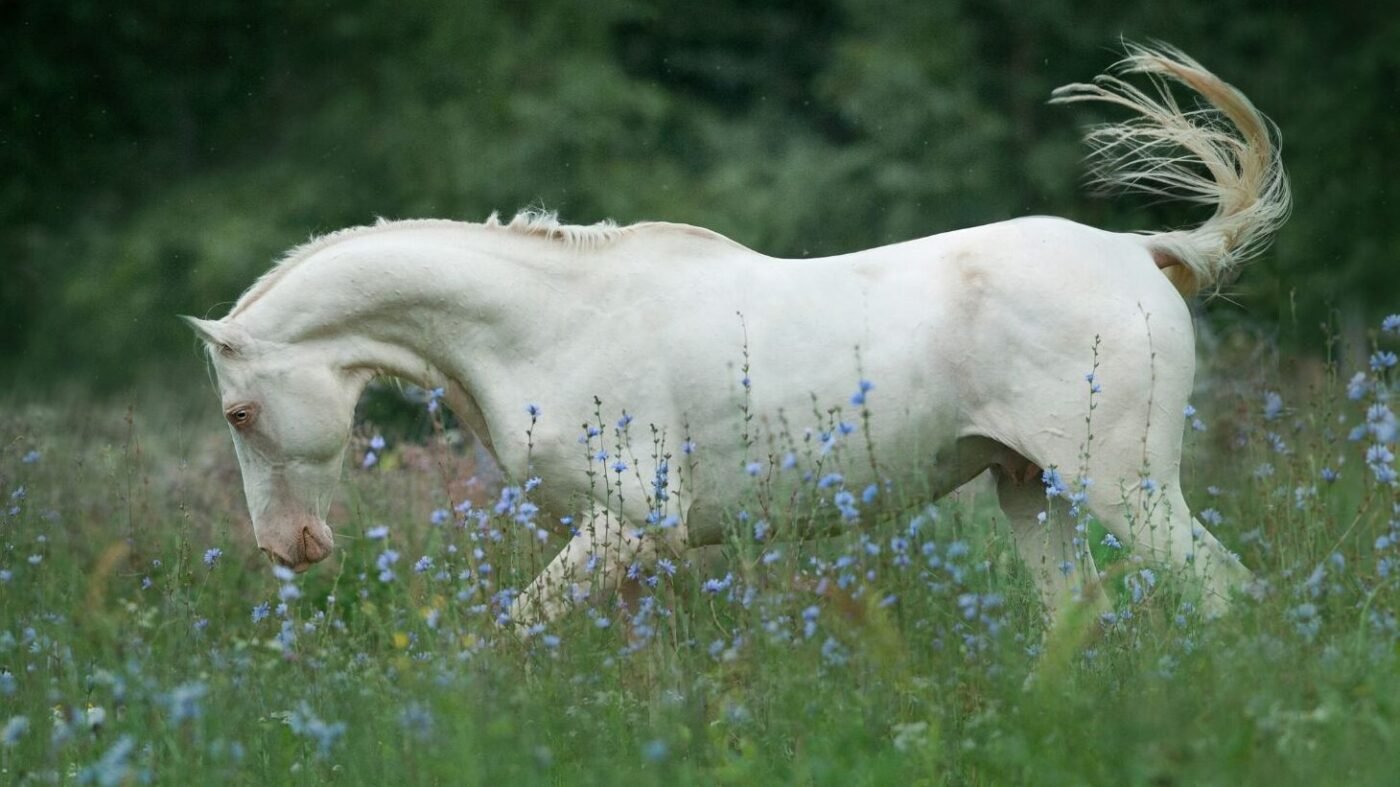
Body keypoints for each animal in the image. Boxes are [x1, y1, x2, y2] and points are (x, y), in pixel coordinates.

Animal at [185, 44, 1289, 629]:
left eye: (238, 412)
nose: (288, 549)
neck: (544, 328)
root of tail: (1144, 252)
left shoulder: (630, 525)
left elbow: (506, 633)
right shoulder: (636, 548)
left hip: (1122, 487)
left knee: (1225, 593)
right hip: (1031, 489)